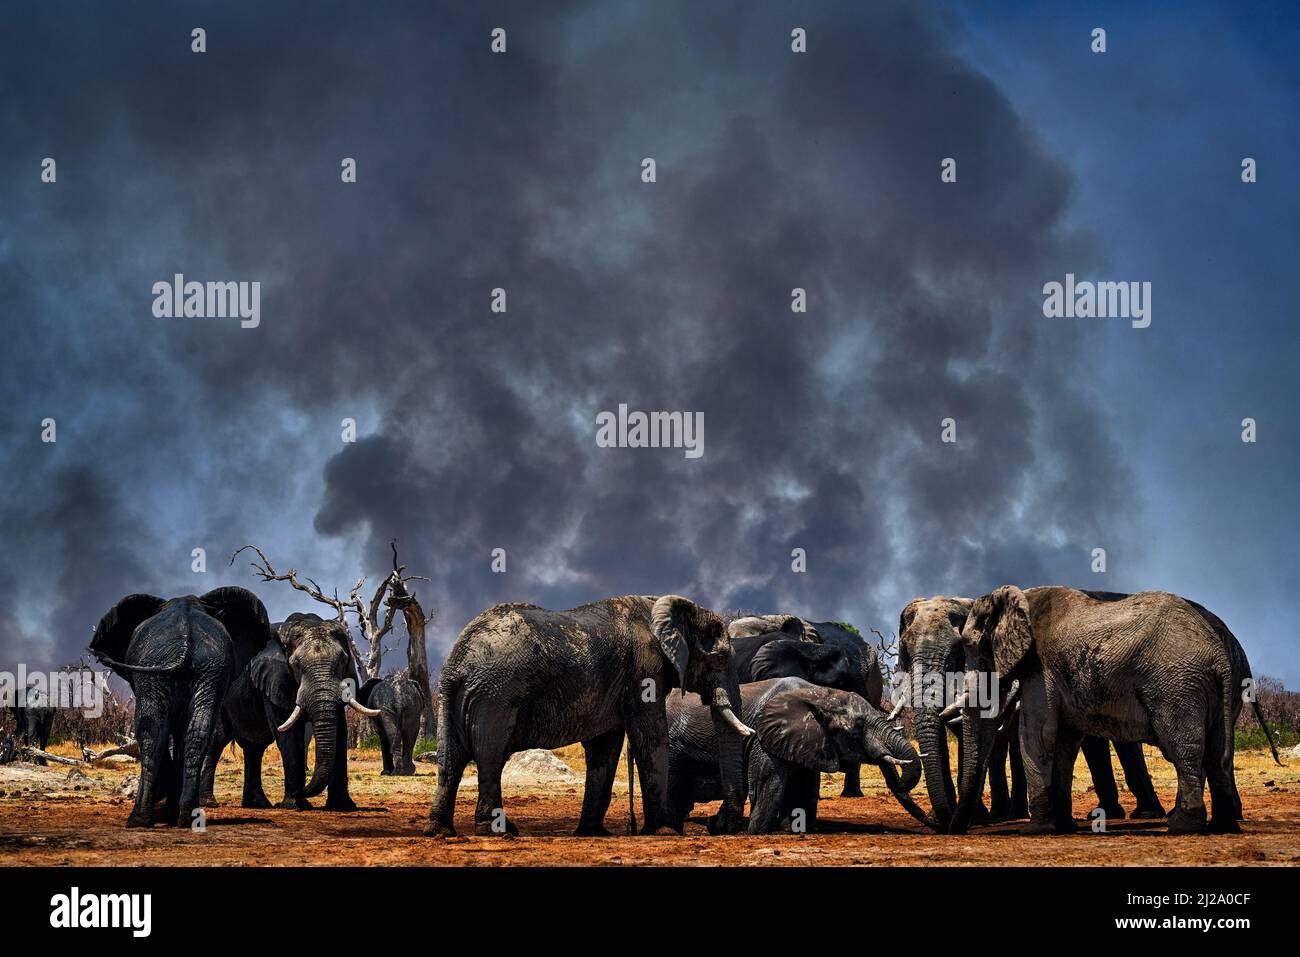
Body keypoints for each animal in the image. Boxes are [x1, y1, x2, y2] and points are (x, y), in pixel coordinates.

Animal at [90, 588, 270, 827]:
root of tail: (185, 643)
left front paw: (163, 807)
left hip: (161, 667)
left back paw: (146, 817)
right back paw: (182, 817)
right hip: (208, 670)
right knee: (196, 732)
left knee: (152, 732)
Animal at [426, 595, 754, 838]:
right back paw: (498, 832)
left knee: (451, 760)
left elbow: (604, 747)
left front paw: (593, 833)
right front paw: (665, 832)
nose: (718, 827)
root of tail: (457, 660)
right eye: (720, 657)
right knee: (491, 757)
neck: (666, 605)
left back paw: (441, 831)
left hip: (455, 697)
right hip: (496, 694)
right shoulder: (643, 669)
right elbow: (649, 737)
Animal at [666, 677, 924, 834]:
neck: (819, 693)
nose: (931, 820)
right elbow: (767, 788)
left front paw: (791, 829)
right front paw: (756, 832)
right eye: (858, 726)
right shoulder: (764, 737)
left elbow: (804, 791)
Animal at [947, 586, 1282, 835]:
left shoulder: (1041, 669)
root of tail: (1218, 652)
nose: (953, 829)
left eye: (973, 647)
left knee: (1184, 746)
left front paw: (1036, 830)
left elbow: (1038, 735)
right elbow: (1065, 742)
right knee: (1217, 752)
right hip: (1216, 690)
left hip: (1177, 685)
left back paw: (1182, 826)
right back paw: (1222, 826)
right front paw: (1064, 827)